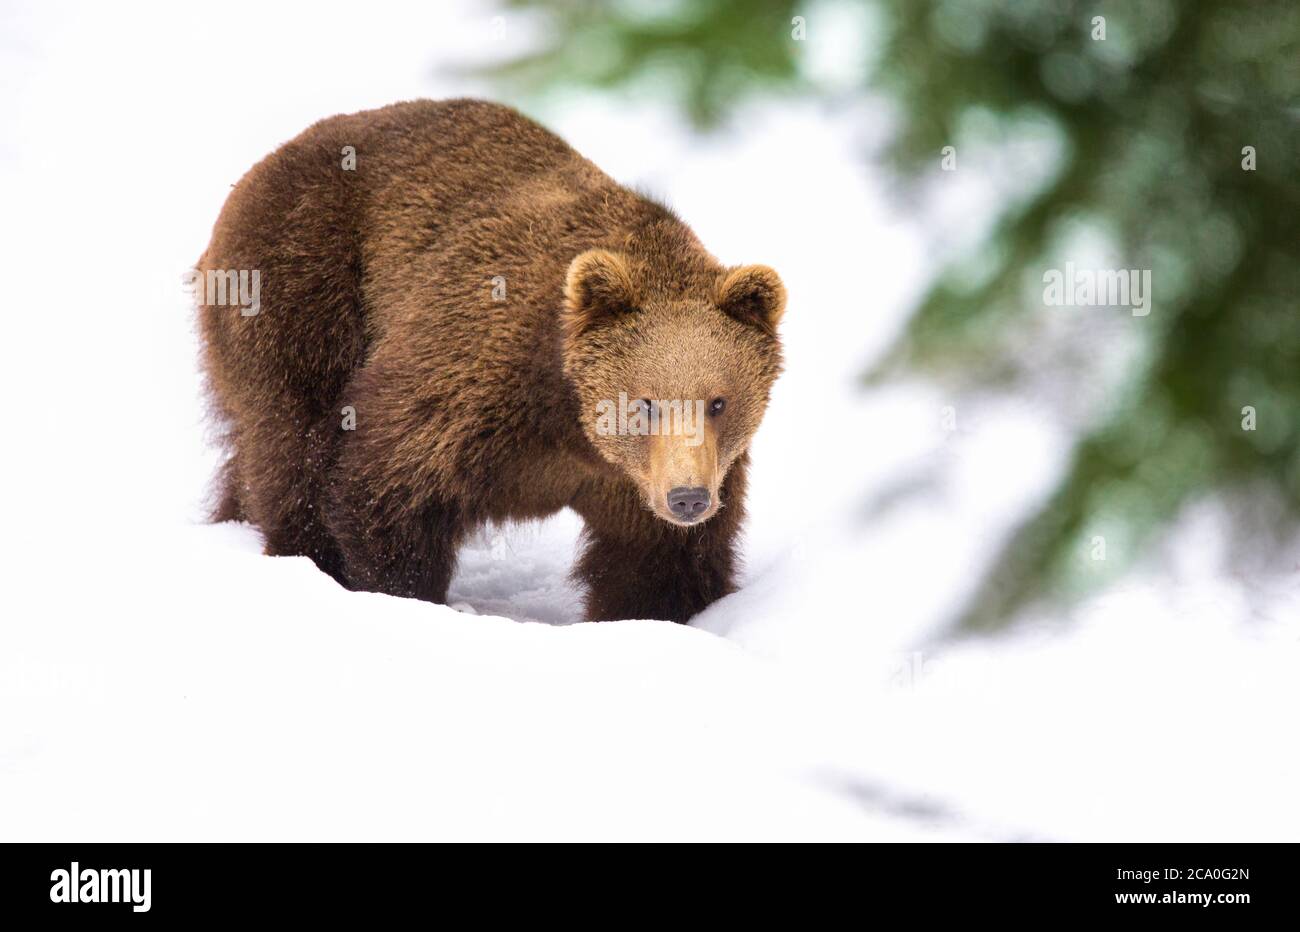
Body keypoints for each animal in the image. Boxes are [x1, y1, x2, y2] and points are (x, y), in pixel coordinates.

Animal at [196, 99, 786, 623]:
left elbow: (660, 566)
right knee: (295, 440)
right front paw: (399, 592)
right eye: (644, 403)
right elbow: (386, 483)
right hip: (302, 280)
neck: (568, 420)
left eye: (718, 401)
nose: (687, 498)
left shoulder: (649, 483)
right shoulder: (472, 375)